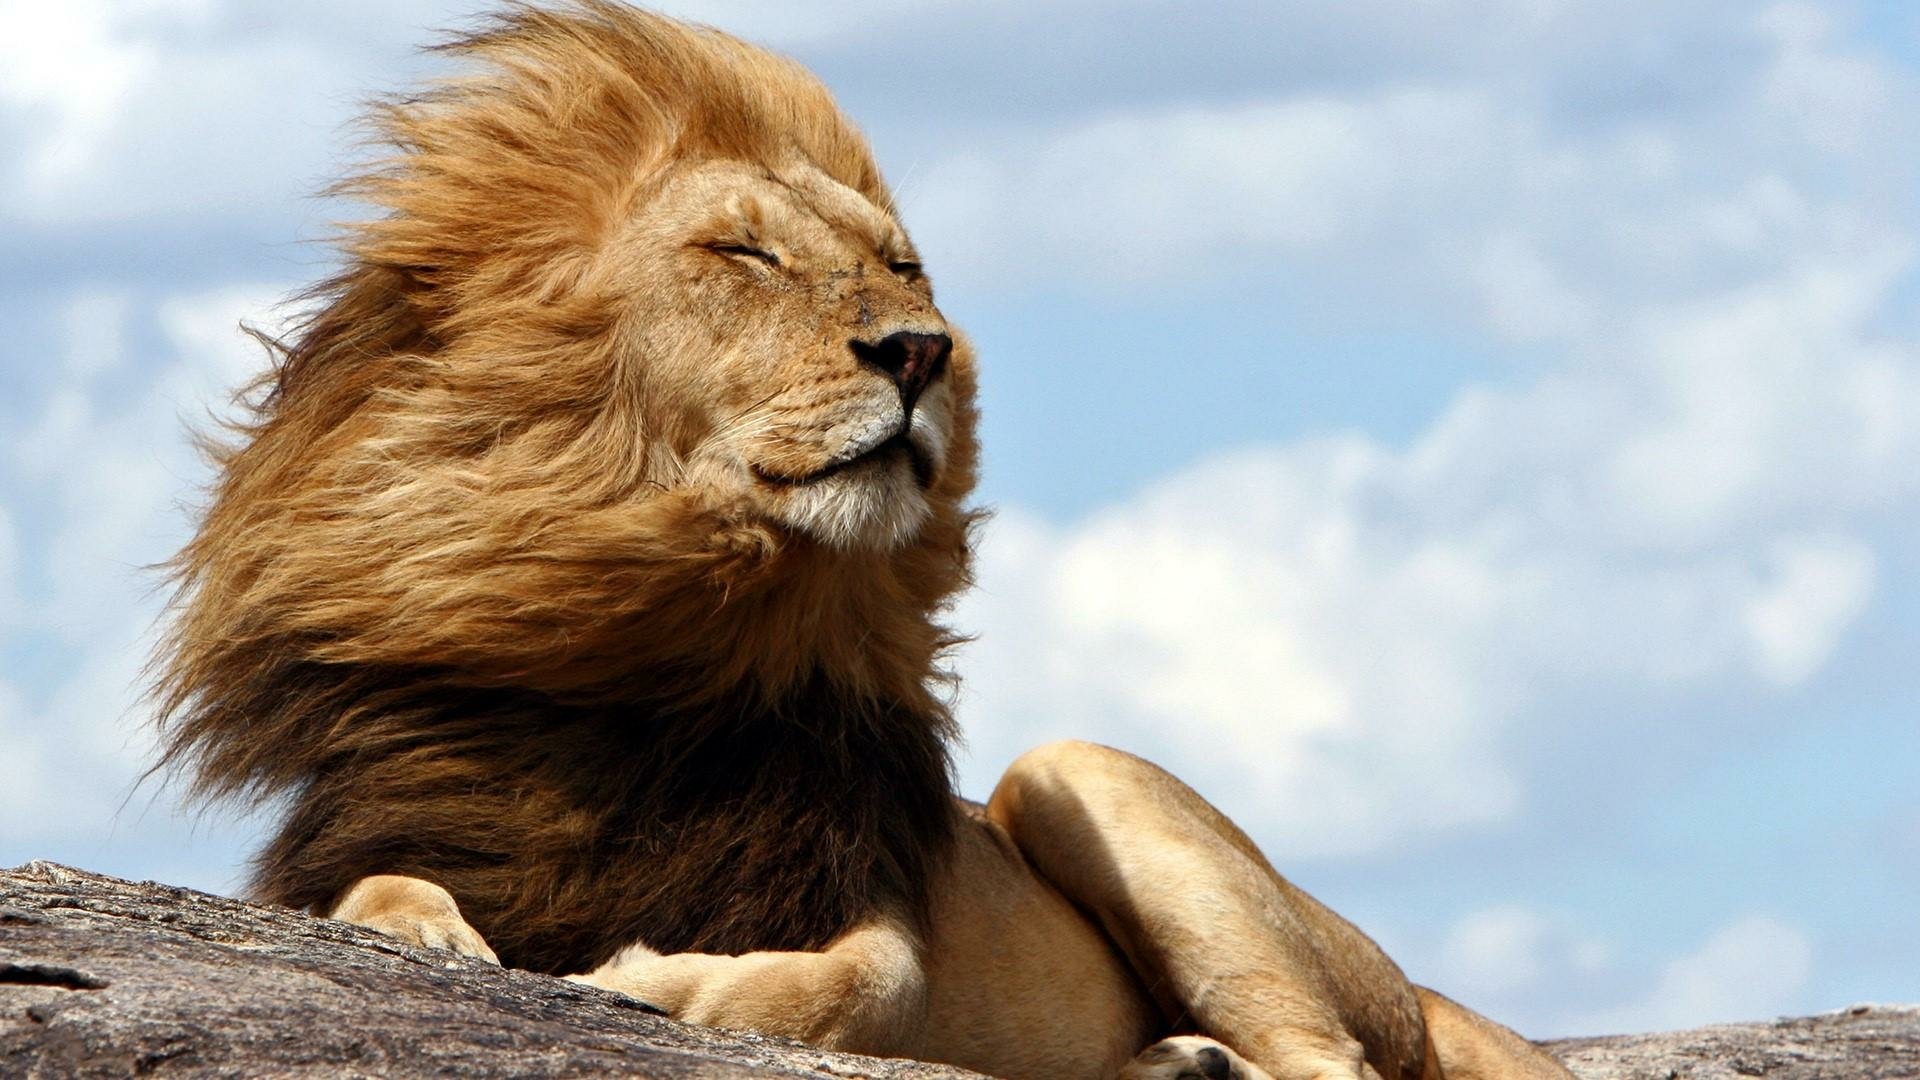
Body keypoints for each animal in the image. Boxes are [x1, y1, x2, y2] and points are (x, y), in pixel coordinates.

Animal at [154, 5, 1573, 1079]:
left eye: (903, 268)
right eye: (745, 252)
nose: (919, 351)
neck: (654, 650)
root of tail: (1416, 980)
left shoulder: (876, 912)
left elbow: (854, 988)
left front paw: (659, 986)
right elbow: (372, 893)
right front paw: (436, 943)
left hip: (1081, 779)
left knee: (1330, 1062)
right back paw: (1173, 1064)